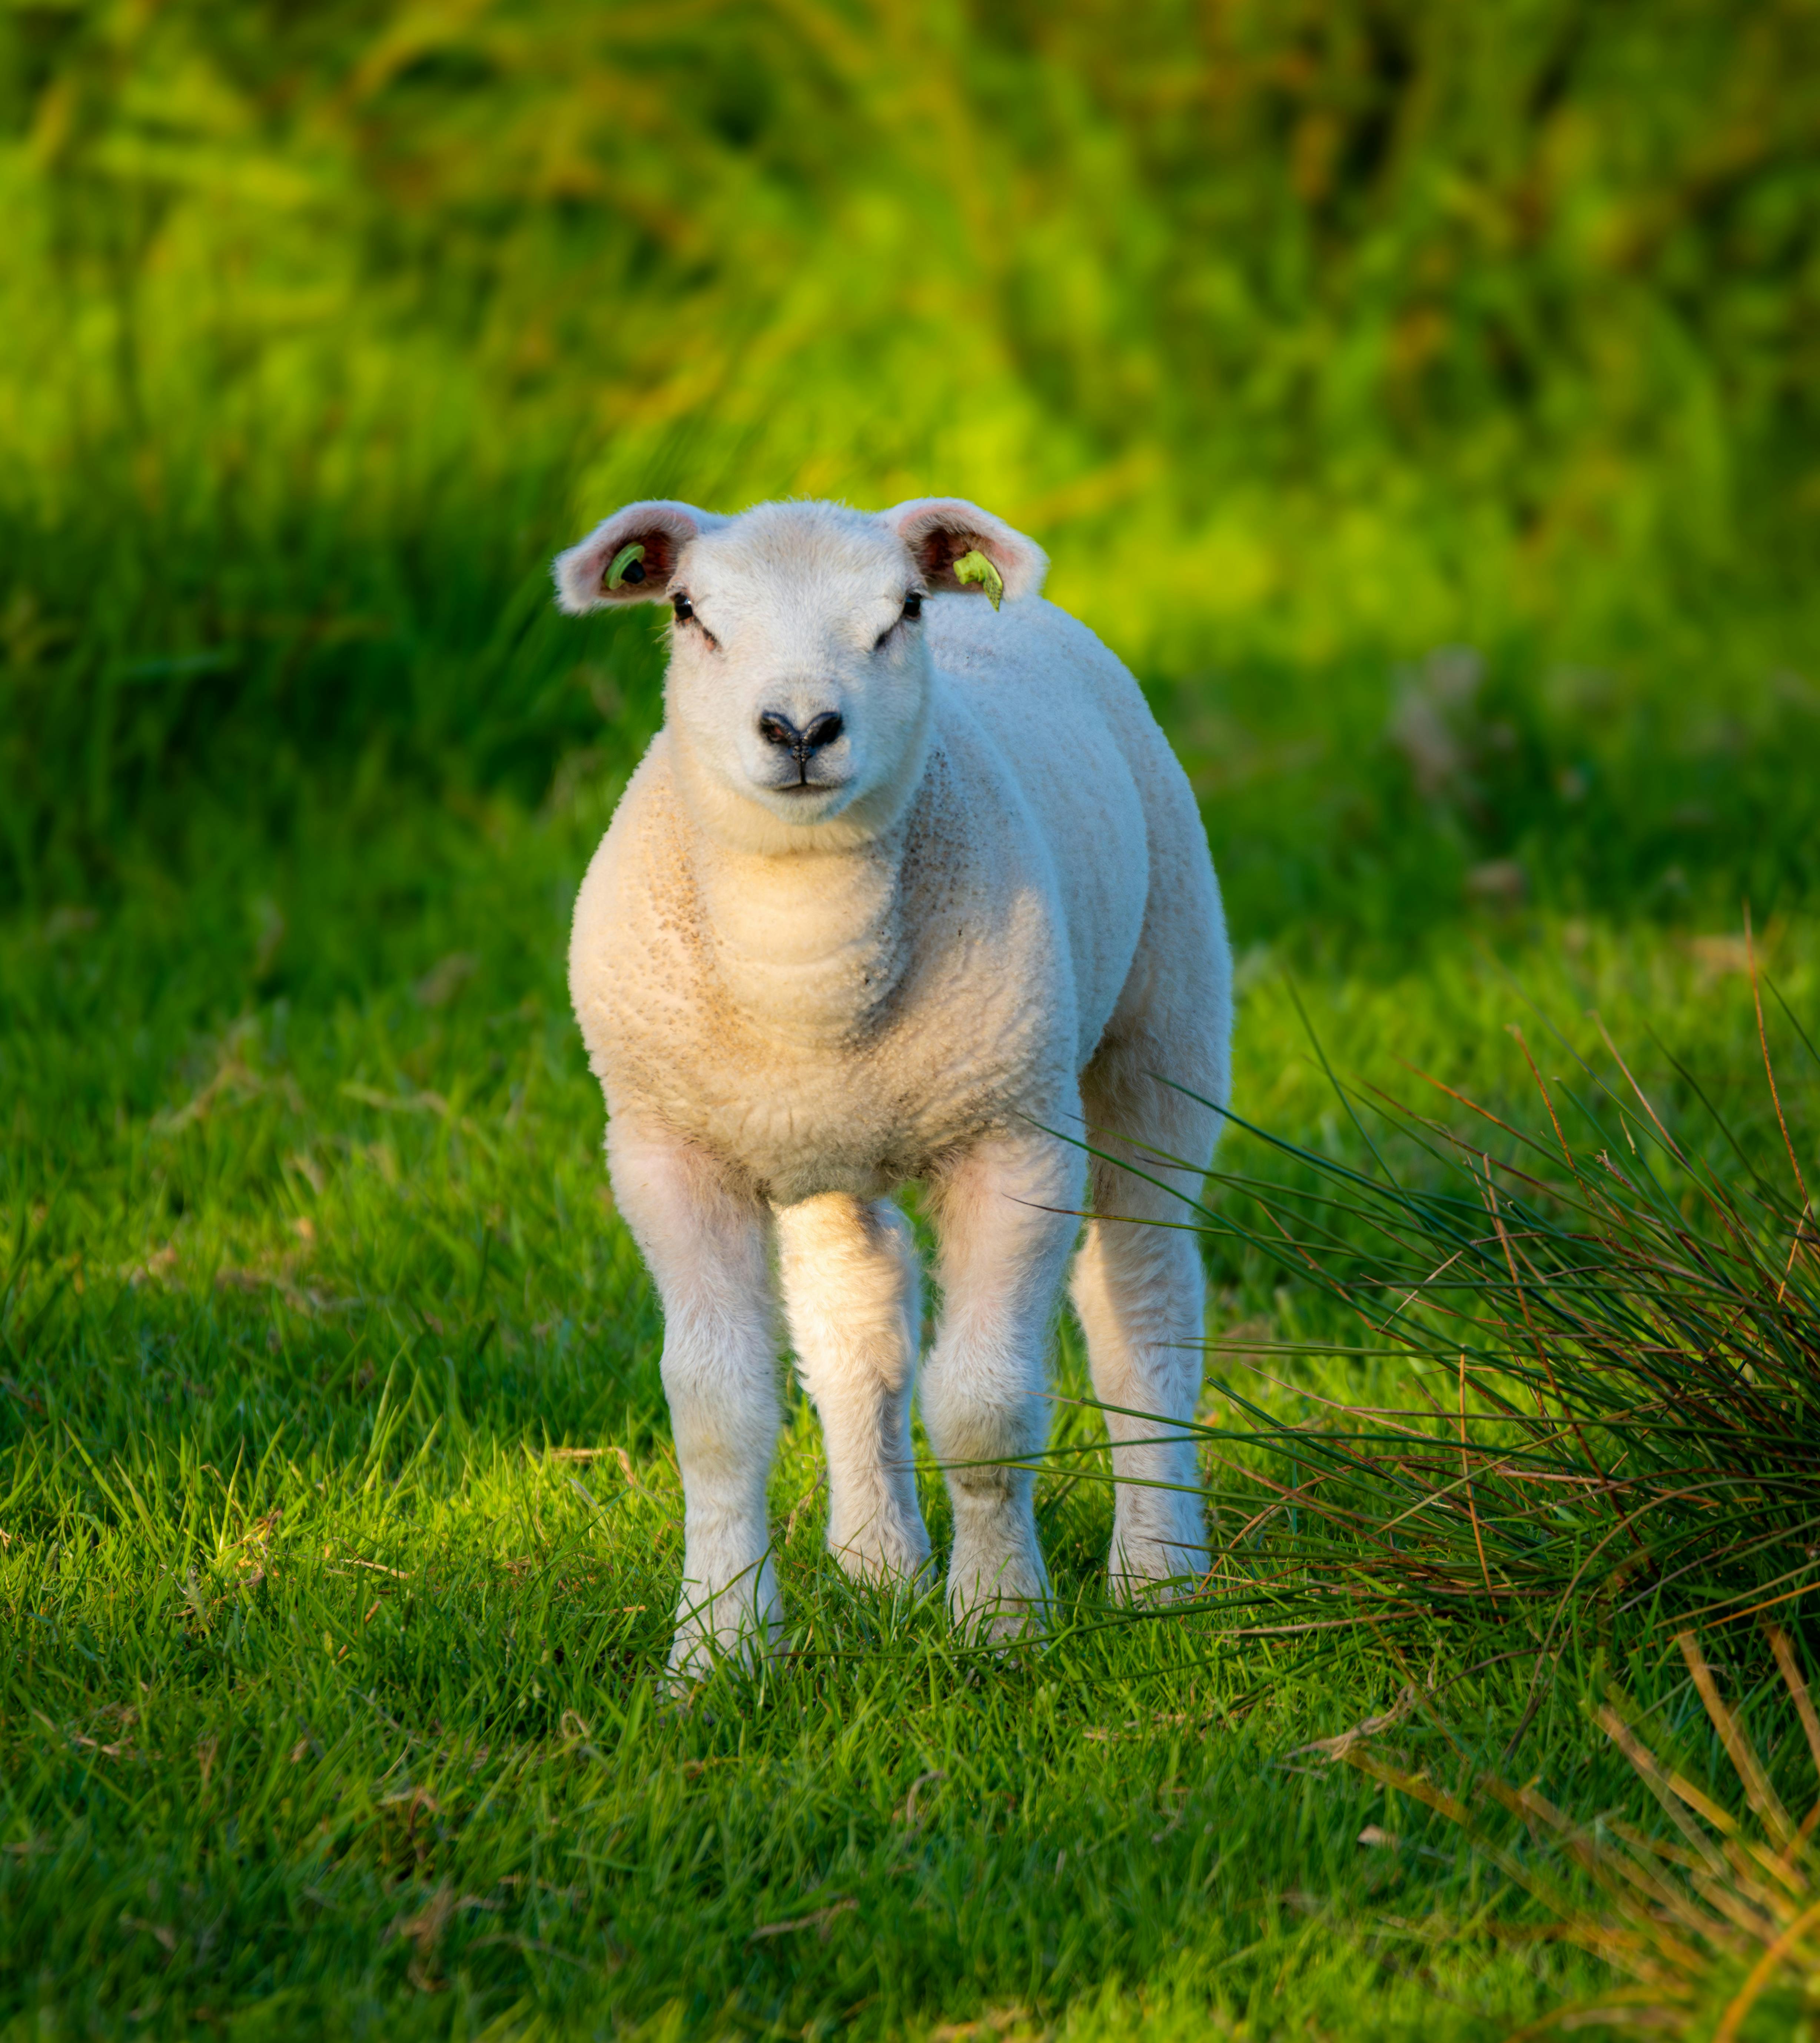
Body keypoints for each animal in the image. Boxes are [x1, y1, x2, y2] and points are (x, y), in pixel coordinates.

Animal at [555, 496, 1232, 1677]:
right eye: (689, 613)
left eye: (901, 612)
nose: (799, 729)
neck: (808, 981)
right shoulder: (666, 1154)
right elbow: (717, 1412)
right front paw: (718, 1646)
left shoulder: (1015, 1139)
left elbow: (985, 1408)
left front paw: (1000, 1623)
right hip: (832, 1146)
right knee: (854, 1315)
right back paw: (879, 1562)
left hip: (1167, 1016)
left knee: (1142, 1301)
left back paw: (1158, 1569)